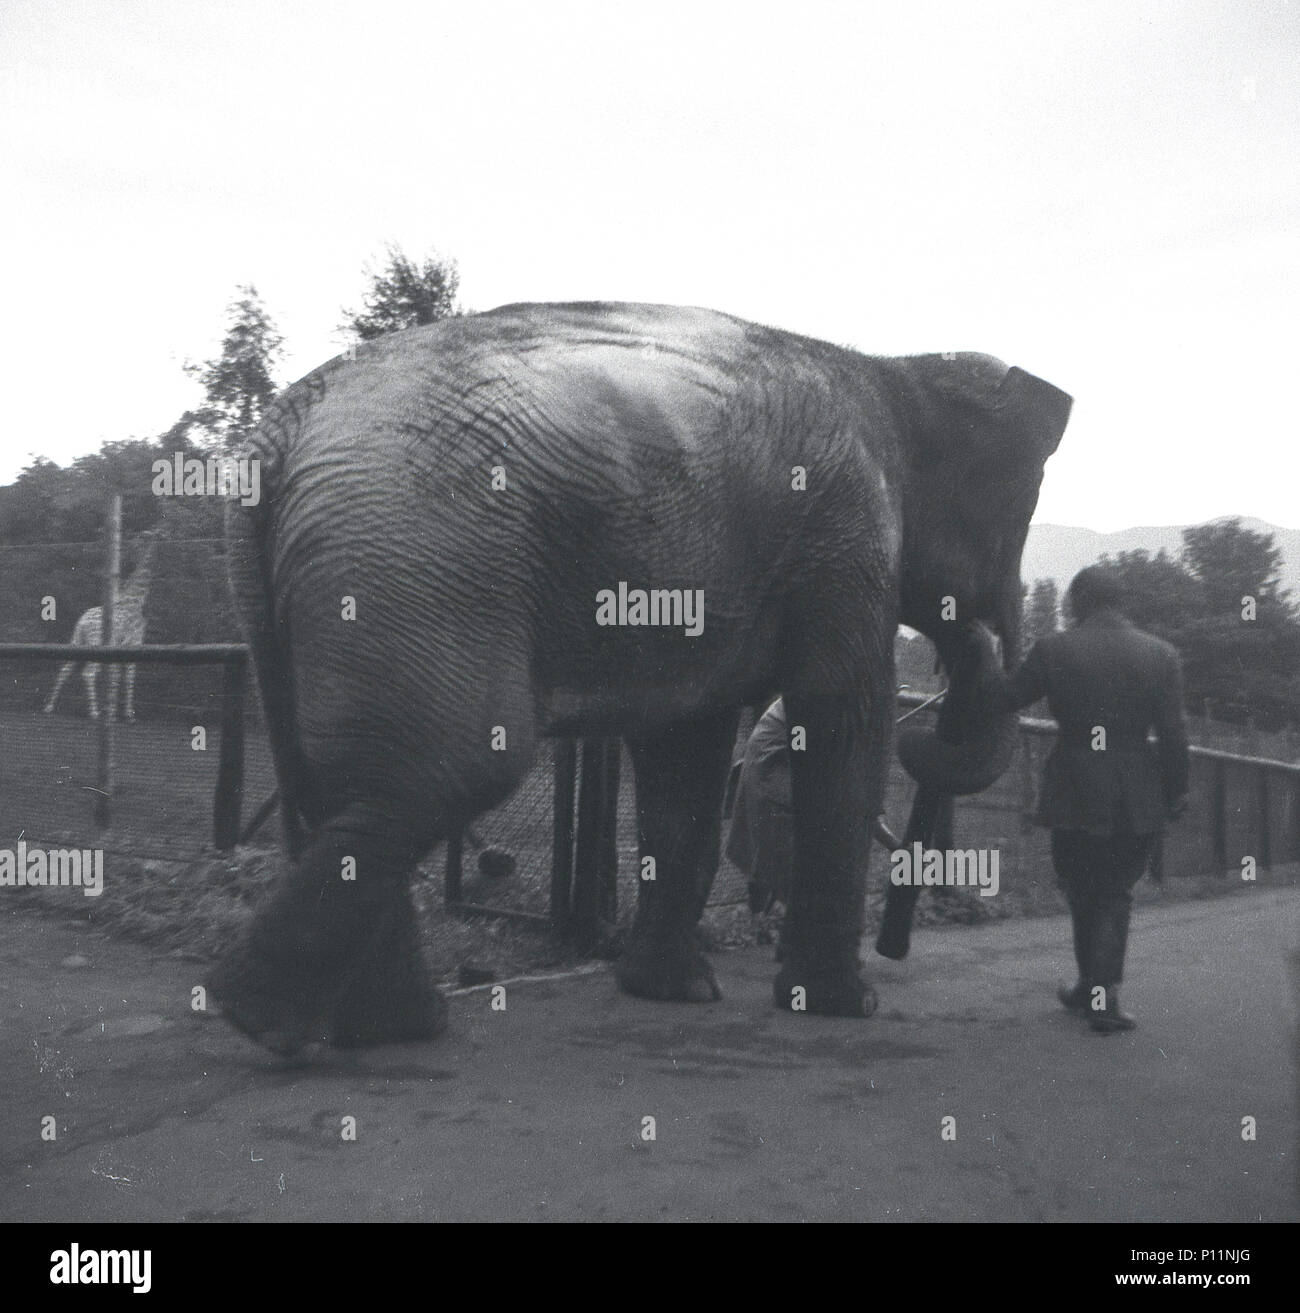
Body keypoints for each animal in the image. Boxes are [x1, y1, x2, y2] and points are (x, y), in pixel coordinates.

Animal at [208, 301, 1071, 1056]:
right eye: (1020, 520)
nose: (982, 635)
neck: (895, 371)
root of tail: (276, 438)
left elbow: (685, 748)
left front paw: (675, 991)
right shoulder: (847, 525)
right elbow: (835, 718)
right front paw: (842, 1005)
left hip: (311, 588)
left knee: (340, 786)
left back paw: (384, 1028)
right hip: (415, 564)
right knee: (455, 767)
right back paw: (273, 1020)